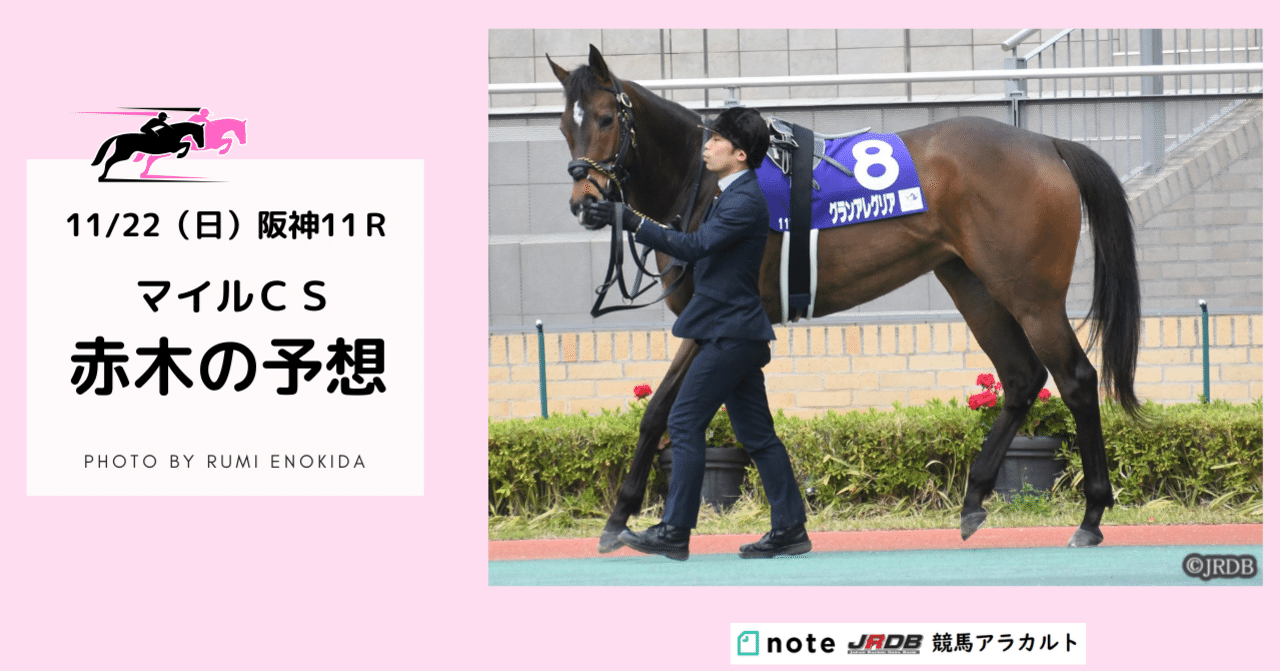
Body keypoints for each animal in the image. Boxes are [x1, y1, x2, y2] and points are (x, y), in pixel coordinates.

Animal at [547, 45, 1141, 551]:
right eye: (564, 125)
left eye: (606, 118)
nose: (584, 201)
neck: (706, 182)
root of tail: (1047, 145)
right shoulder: (732, 329)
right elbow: (722, 421)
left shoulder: (707, 320)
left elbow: (661, 412)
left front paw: (622, 516)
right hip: (971, 283)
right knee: (1021, 378)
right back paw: (974, 499)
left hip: (1031, 295)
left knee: (1076, 380)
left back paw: (1091, 517)